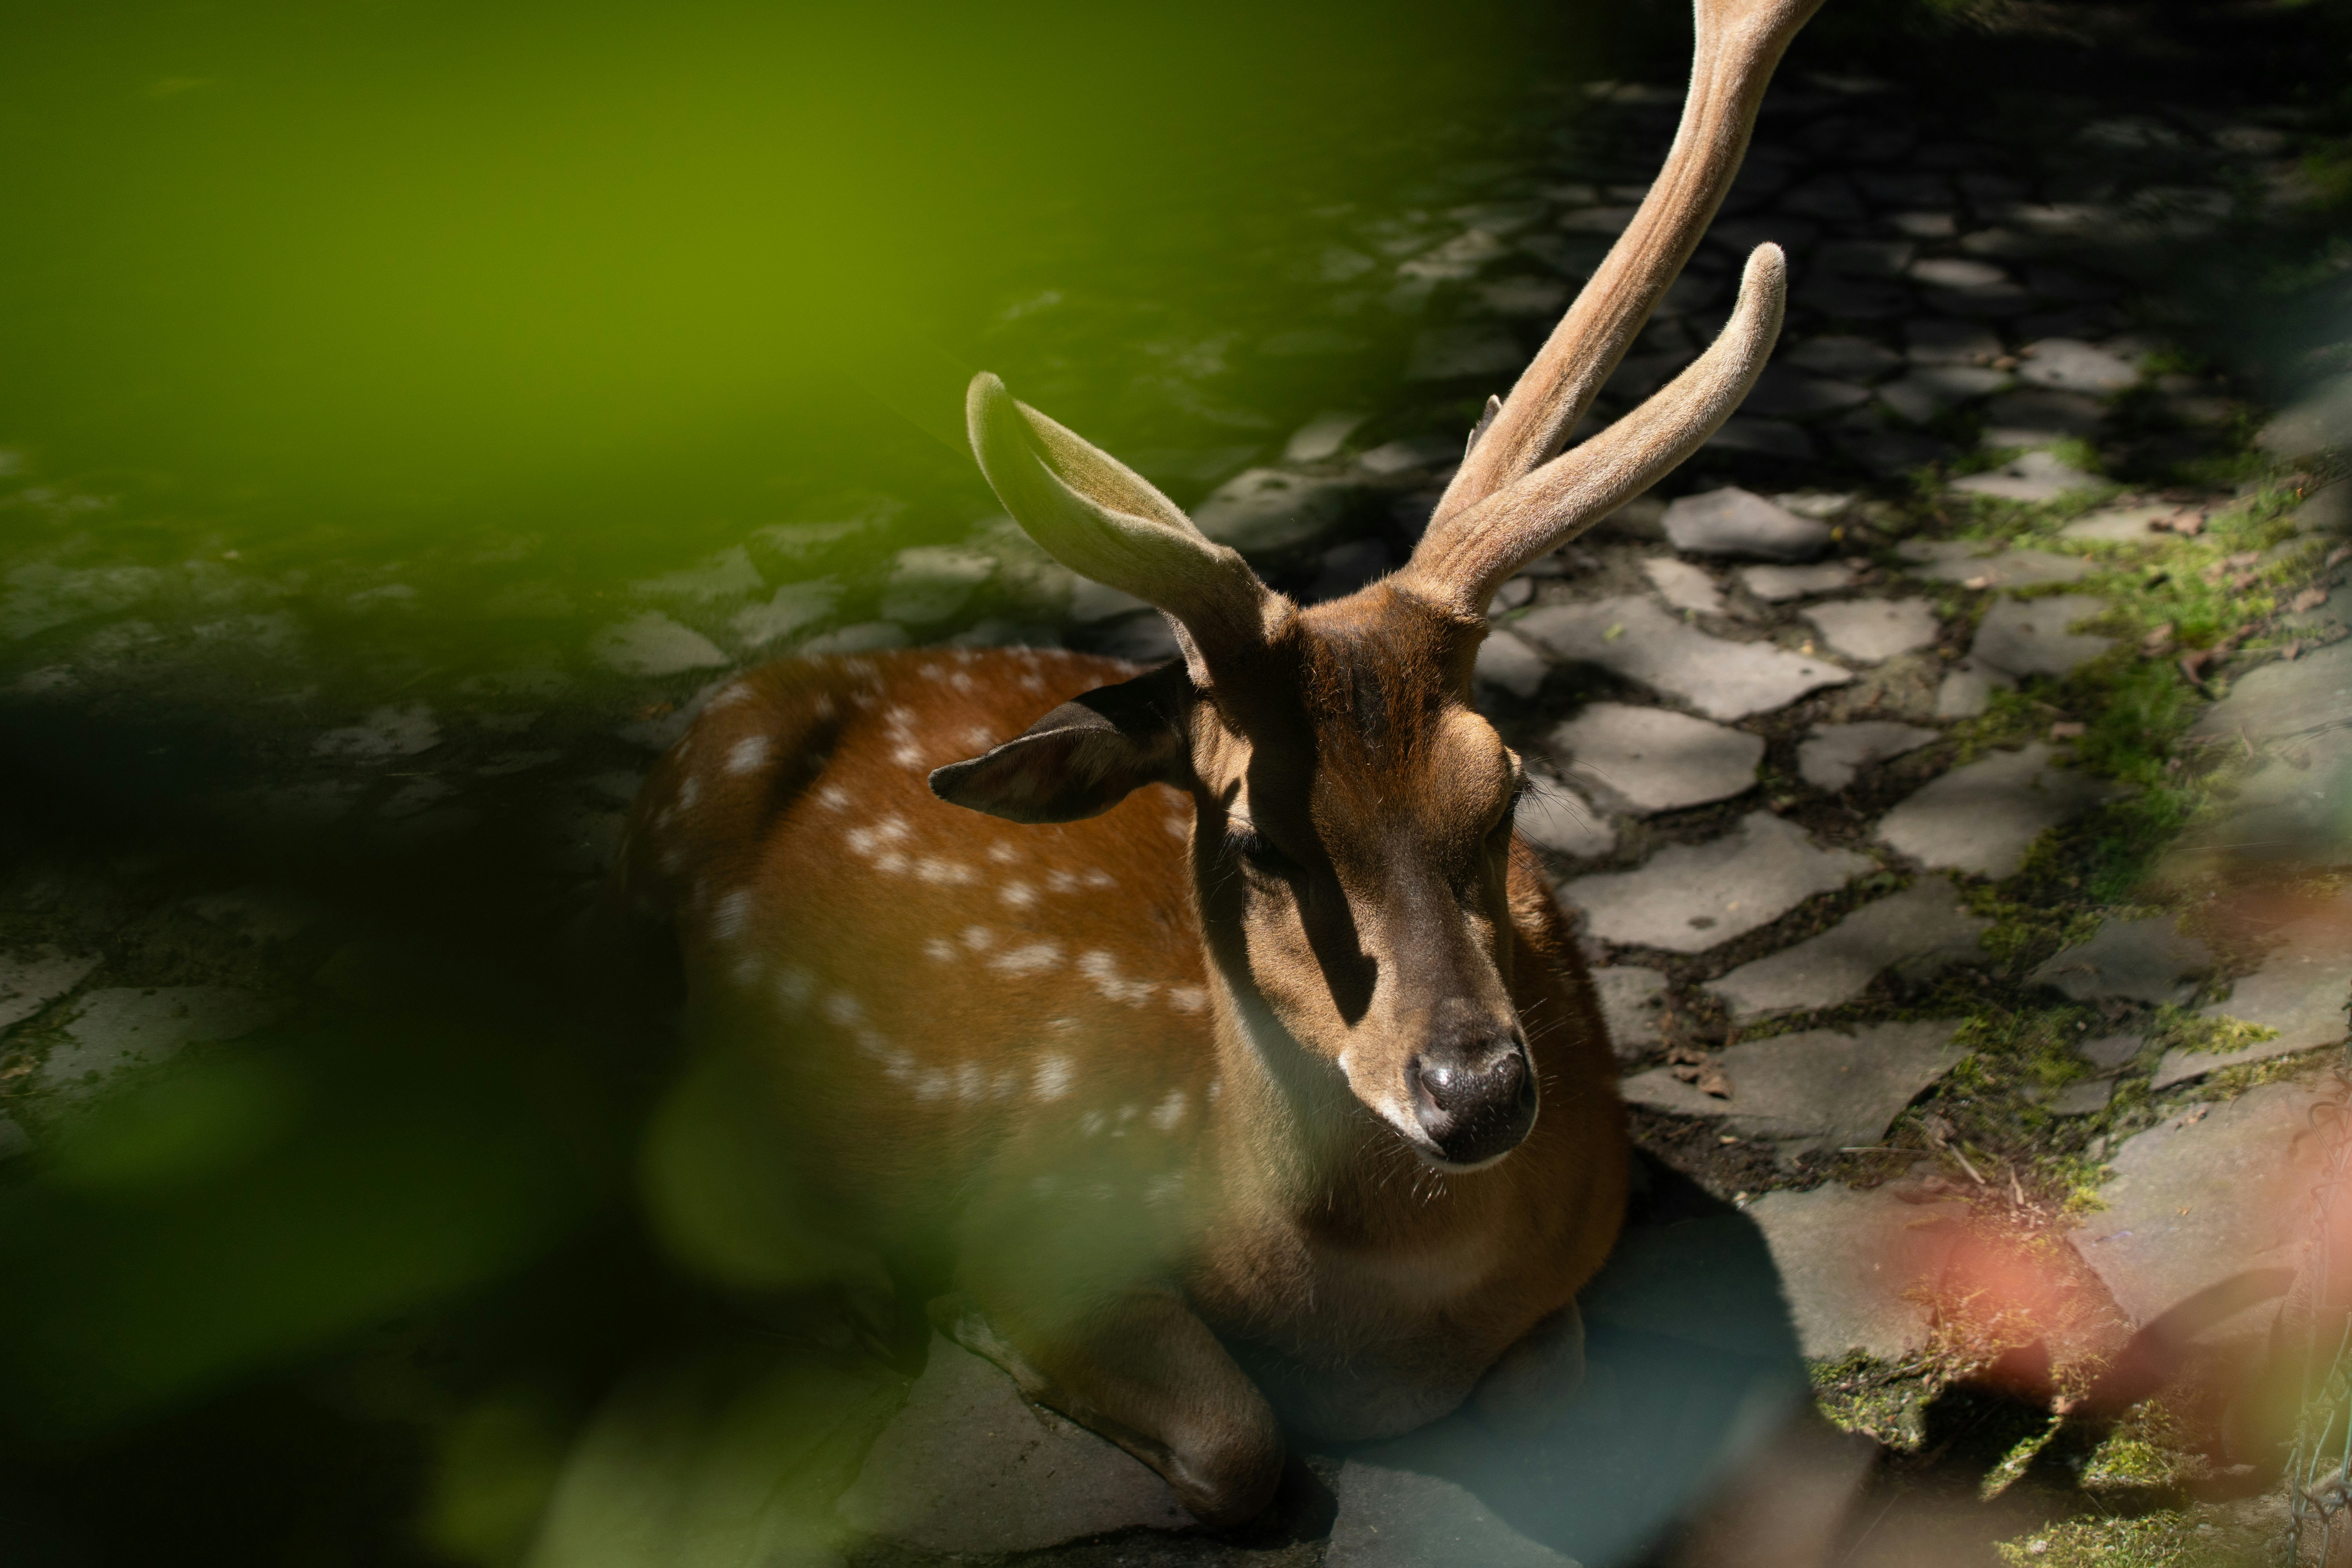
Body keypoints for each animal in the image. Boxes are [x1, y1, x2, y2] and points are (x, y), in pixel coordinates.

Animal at [611, 0, 1822, 1527]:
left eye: (1506, 790)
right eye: (1254, 833)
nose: (1476, 1092)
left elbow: (1547, 1394)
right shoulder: (1042, 1215)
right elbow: (1239, 1444)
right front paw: (962, 1321)